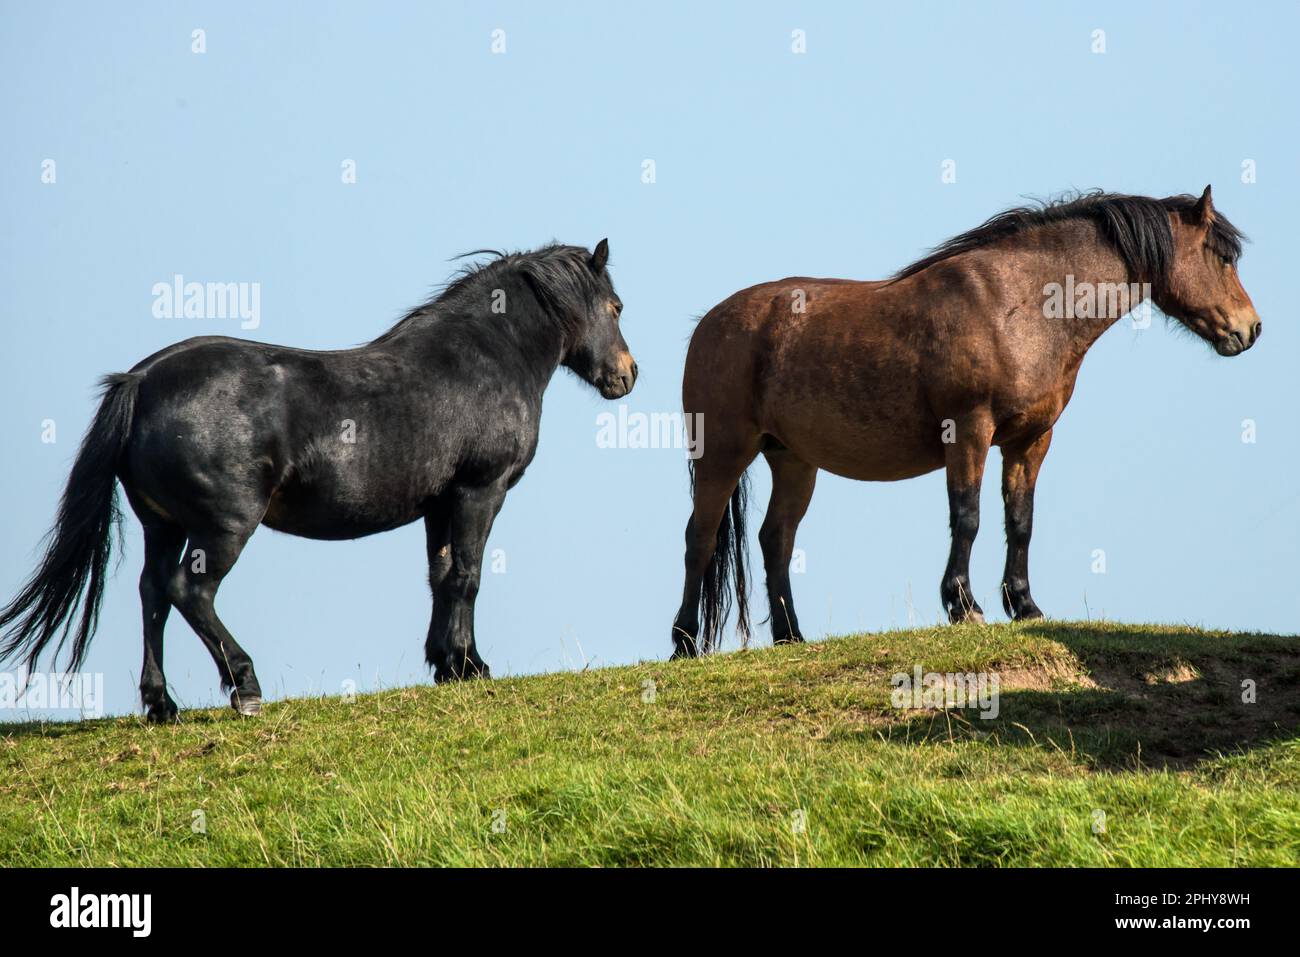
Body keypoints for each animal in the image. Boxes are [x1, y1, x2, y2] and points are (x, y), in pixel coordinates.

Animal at [0, 240, 636, 721]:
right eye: (616, 306)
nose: (626, 374)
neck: (483, 356)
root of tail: (142, 379)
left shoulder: (439, 504)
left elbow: (440, 575)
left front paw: (445, 664)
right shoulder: (480, 491)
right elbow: (468, 576)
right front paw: (470, 666)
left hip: (163, 525)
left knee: (152, 593)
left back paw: (162, 705)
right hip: (223, 527)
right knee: (190, 592)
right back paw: (246, 689)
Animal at [670, 187, 1259, 657]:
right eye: (1220, 256)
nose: (1250, 329)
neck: (1020, 302)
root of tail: (710, 324)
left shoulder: (1031, 440)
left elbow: (1020, 521)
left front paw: (1025, 606)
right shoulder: (970, 430)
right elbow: (968, 517)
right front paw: (963, 606)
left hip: (793, 460)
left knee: (776, 539)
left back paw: (791, 637)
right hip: (725, 451)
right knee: (700, 537)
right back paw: (684, 643)